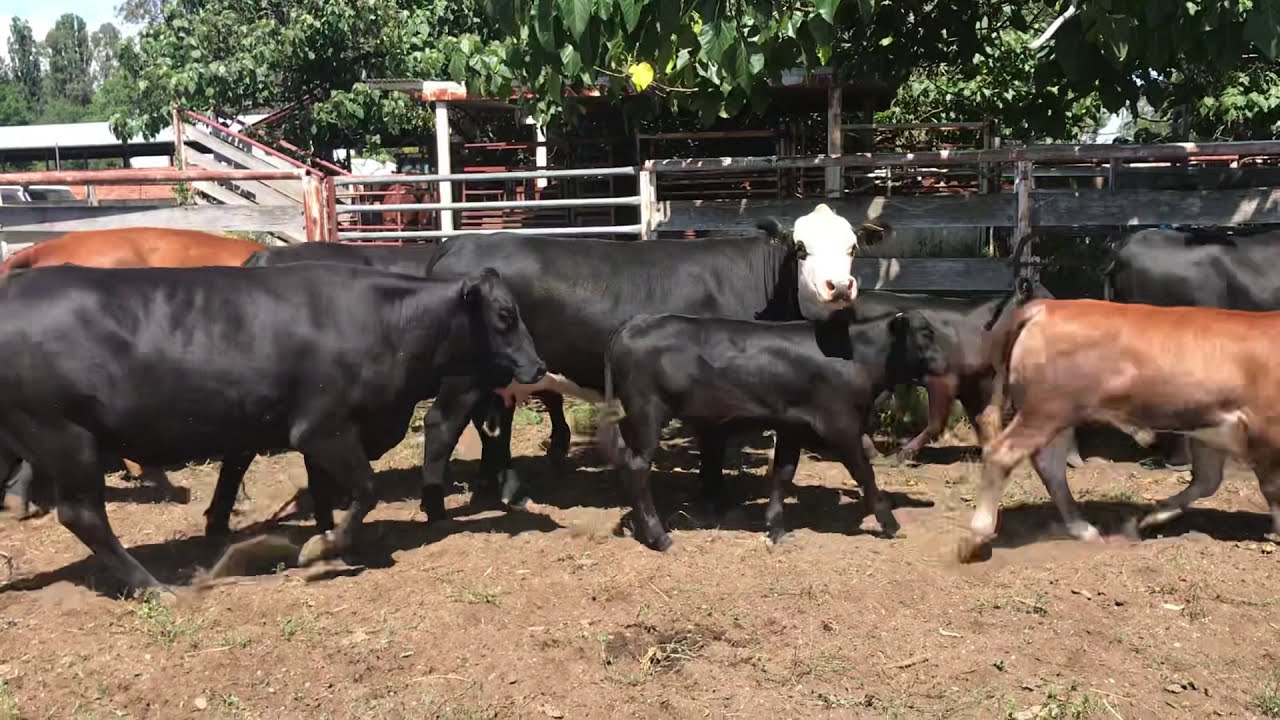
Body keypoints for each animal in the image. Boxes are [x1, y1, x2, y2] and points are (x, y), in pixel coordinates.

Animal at [0, 263, 543, 594]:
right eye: (504, 314)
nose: (537, 366)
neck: (386, 323)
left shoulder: (320, 436)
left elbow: (326, 495)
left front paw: (329, 541)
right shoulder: (323, 428)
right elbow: (364, 489)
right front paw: (323, 547)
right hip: (66, 439)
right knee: (84, 515)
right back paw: (153, 585)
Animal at [418, 203, 863, 522]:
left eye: (852, 248)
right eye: (801, 249)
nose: (839, 287)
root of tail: (458, 243)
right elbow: (713, 443)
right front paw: (715, 499)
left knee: (492, 424)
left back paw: (510, 492)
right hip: (462, 377)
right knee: (442, 424)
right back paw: (436, 507)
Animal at [595, 310, 951, 551]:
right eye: (925, 333)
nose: (949, 360)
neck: (856, 358)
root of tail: (636, 322)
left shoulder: (792, 427)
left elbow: (783, 474)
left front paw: (776, 528)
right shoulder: (841, 426)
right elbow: (866, 475)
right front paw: (890, 524)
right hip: (646, 414)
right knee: (638, 468)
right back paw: (659, 537)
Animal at [959, 298, 1280, 562]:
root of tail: (1047, 307)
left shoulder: (1210, 429)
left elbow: (1207, 481)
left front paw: (1150, 517)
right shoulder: (1266, 428)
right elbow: (1272, 489)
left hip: (1058, 415)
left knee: (1049, 465)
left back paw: (1083, 529)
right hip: (1045, 409)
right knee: (1003, 454)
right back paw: (975, 538)